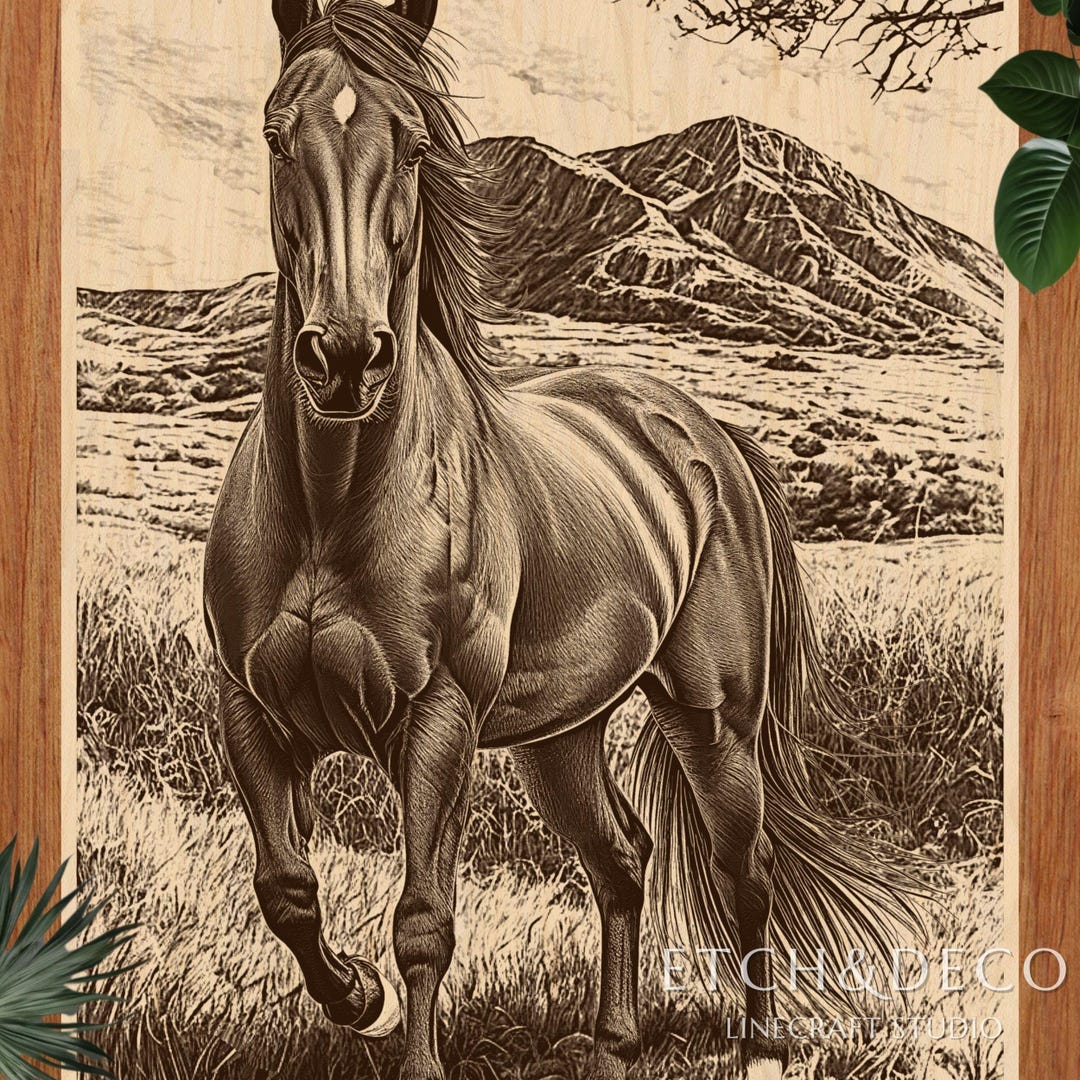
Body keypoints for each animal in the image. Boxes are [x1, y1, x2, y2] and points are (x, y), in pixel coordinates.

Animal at [203, 3, 924, 1078]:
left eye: (414, 145)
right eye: (276, 136)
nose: (346, 358)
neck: (332, 505)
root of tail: (705, 438)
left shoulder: (439, 719)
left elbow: (425, 917)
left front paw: (408, 1047)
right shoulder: (251, 711)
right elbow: (286, 891)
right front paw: (358, 998)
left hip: (713, 720)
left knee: (742, 866)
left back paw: (757, 1043)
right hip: (562, 735)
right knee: (623, 858)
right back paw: (614, 1039)